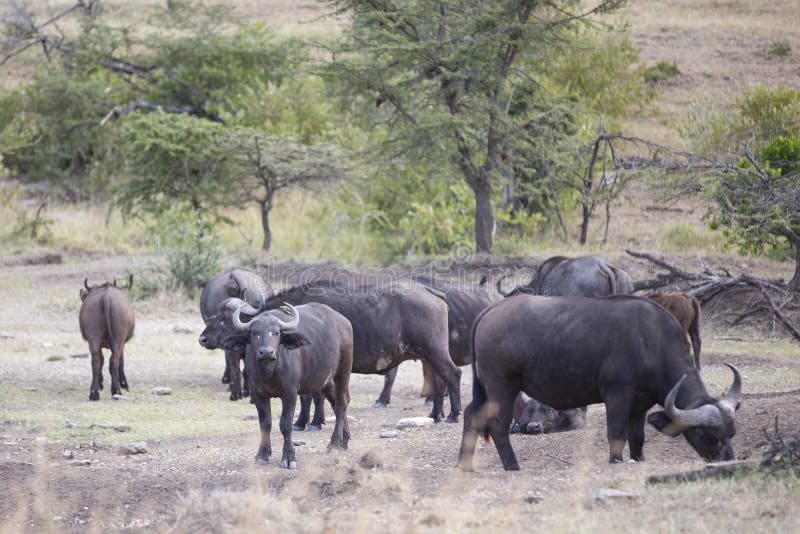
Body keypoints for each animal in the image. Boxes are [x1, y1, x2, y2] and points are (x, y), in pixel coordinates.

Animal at [226, 299, 353, 469]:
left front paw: (288, 457)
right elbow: (265, 423)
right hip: (326, 380)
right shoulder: (257, 394)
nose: (266, 352)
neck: (269, 372)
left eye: (276, 333)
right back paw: (344, 441)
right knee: (337, 402)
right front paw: (262, 454)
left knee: (340, 404)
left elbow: (285, 424)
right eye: (254, 333)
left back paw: (334, 444)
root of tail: (344, 322)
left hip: (343, 371)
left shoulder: (290, 393)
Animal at [457, 294, 742, 471]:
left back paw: (465, 465)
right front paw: (615, 460)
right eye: (706, 434)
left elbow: (637, 437)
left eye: (731, 432)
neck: (651, 343)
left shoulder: (639, 405)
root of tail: (489, 311)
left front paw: (638, 459)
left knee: (471, 414)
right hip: (502, 387)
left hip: (485, 389)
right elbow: (616, 434)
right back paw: (512, 465)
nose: (728, 459)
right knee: (497, 424)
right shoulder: (617, 395)